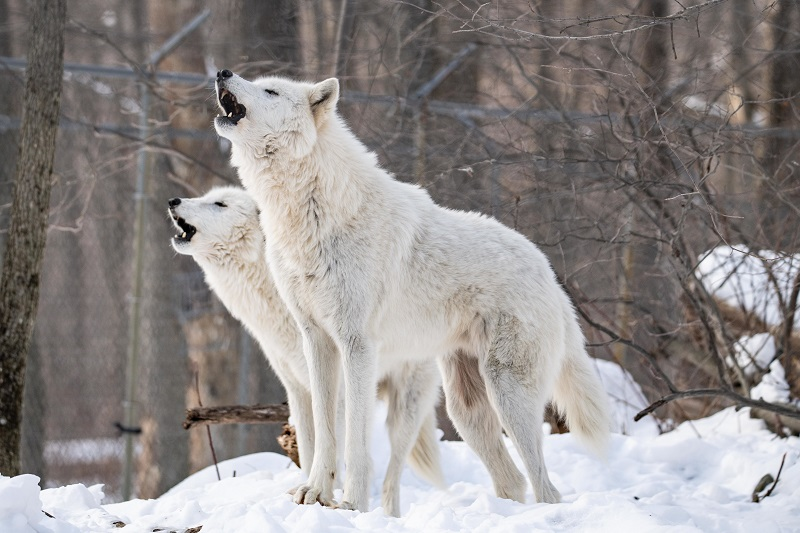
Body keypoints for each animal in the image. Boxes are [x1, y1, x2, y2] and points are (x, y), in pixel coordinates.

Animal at [168, 186, 444, 516]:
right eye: (206, 197)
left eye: (219, 204)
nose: (173, 201)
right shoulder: (296, 388)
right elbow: (311, 449)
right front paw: (308, 493)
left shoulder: (337, 389)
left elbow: (332, 446)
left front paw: (328, 496)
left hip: (405, 410)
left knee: (393, 474)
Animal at [212, 69, 611, 512]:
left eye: (271, 90)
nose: (223, 72)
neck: (312, 211)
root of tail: (550, 274)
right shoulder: (315, 339)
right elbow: (325, 433)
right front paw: (315, 494)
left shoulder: (357, 345)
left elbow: (354, 438)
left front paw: (352, 505)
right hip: (465, 409)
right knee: (513, 481)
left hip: (506, 395)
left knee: (546, 487)